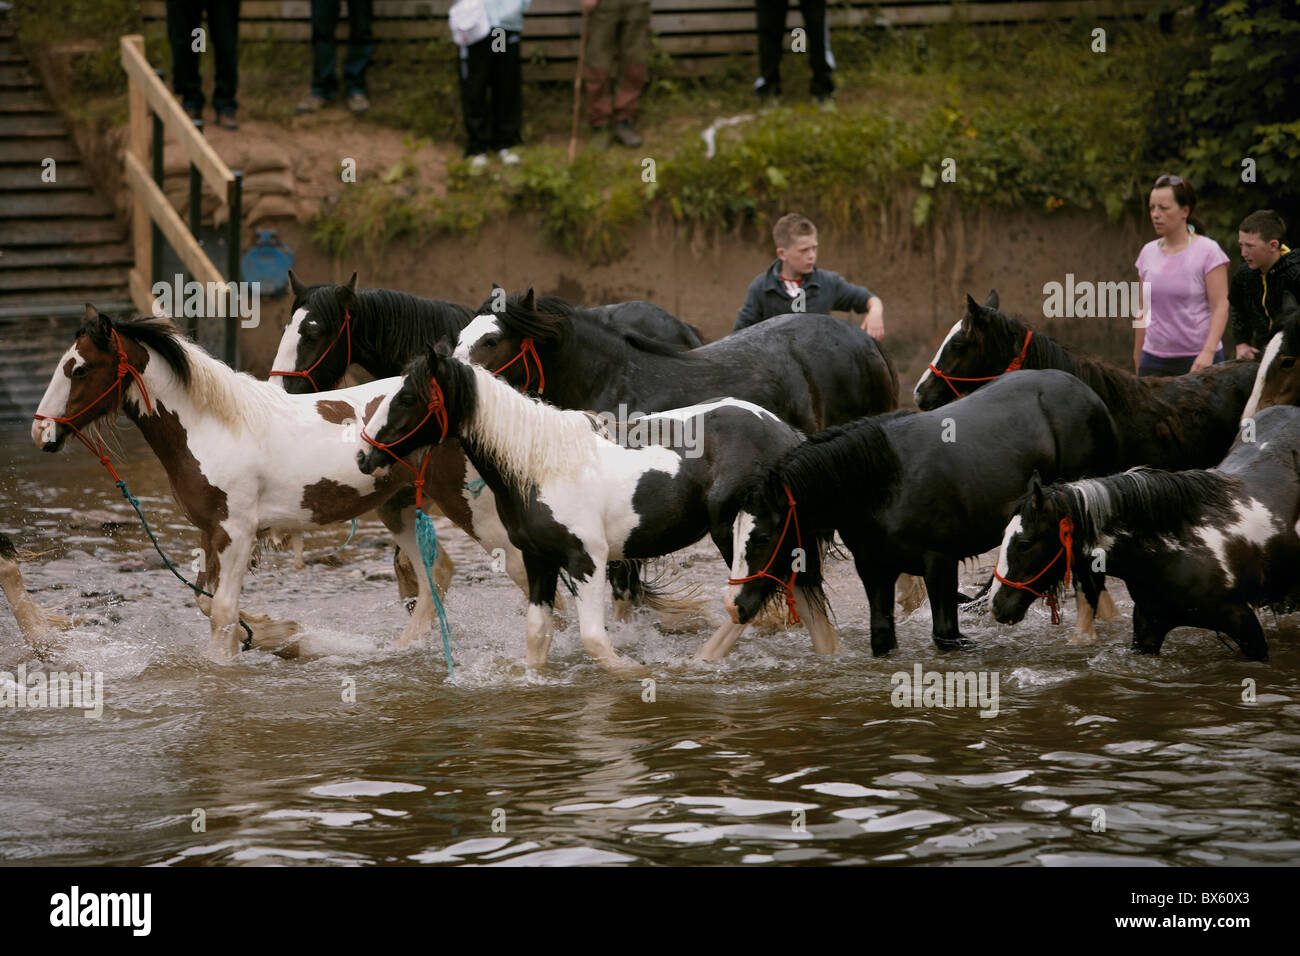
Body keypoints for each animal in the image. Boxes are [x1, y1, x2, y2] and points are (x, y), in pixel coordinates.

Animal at [31, 308, 462, 661]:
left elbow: (221, 611)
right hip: (398, 507)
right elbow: (207, 602)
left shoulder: (237, 533)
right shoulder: (210, 531)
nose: (40, 431)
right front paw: (278, 634)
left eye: (79, 369)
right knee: (434, 575)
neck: (213, 427)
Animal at [356, 345, 840, 672]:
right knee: (806, 606)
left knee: (749, 601)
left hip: (742, 537)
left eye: (407, 398)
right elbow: (538, 635)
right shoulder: (538, 559)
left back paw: (701, 660)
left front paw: (638, 674)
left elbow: (594, 641)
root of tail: (785, 433)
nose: (363, 455)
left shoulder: (587, 559)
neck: (540, 467)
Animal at [728, 370, 1121, 656]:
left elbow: (946, 636)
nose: (735, 607)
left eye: (763, 536)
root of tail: (1087, 394)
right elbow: (882, 636)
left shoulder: (939, 560)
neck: (884, 483)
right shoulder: (873, 567)